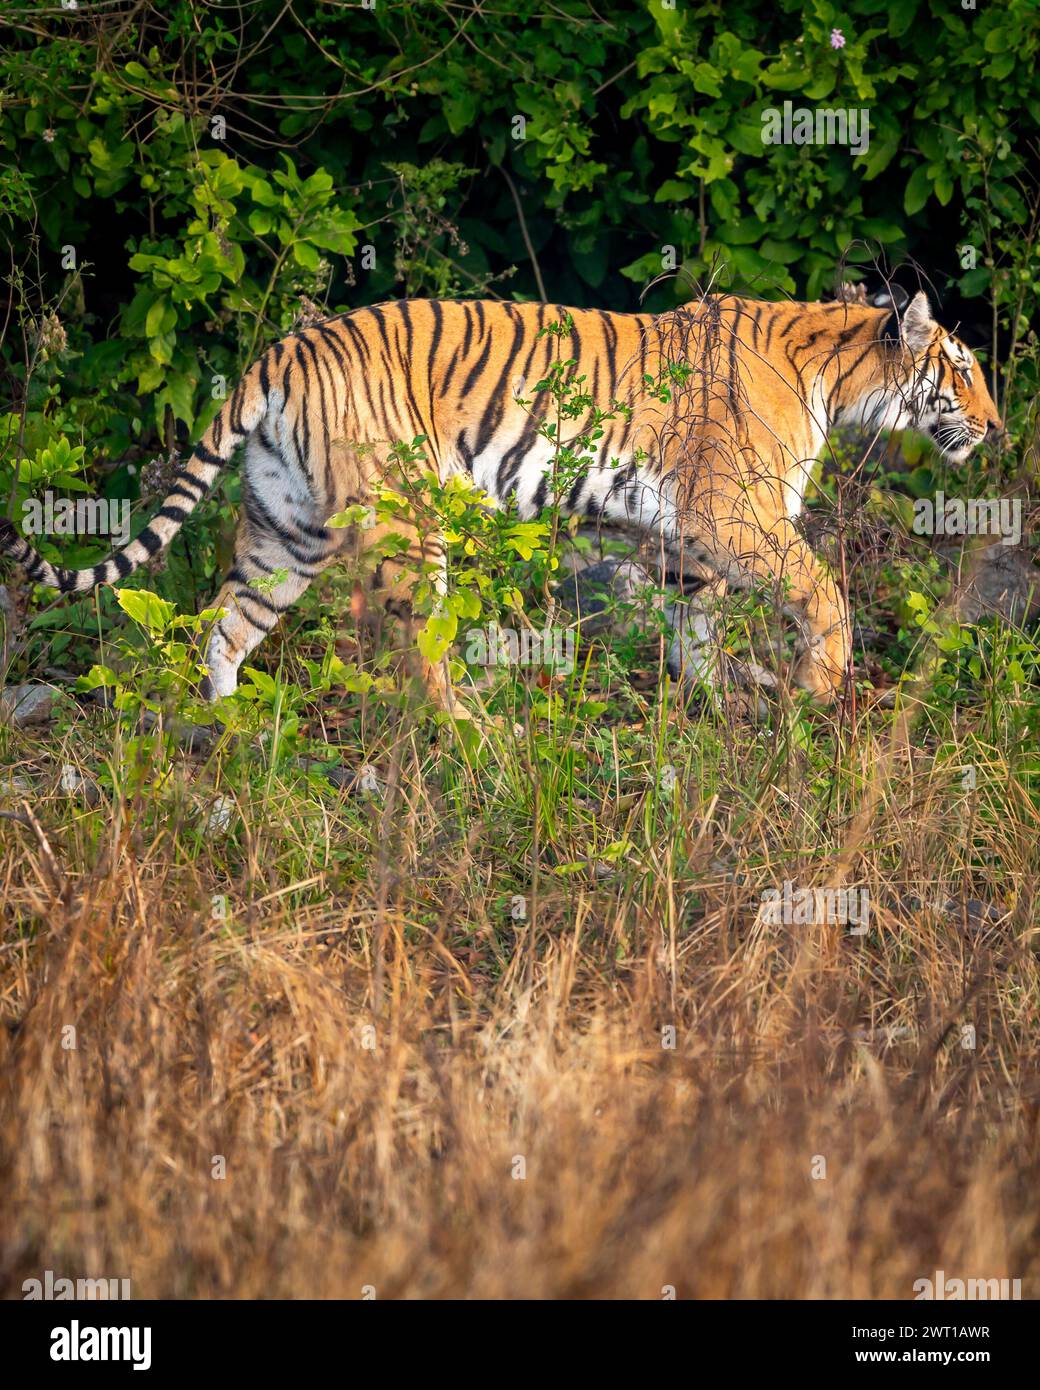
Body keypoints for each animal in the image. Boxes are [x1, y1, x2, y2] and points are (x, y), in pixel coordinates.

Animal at [0, 286, 1002, 711]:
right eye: (962, 370)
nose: (995, 427)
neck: (839, 374)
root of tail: (285, 348)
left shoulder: (686, 538)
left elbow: (698, 627)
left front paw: (729, 706)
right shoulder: (733, 516)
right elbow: (823, 590)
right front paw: (819, 688)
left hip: (287, 528)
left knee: (226, 618)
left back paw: (226, 730)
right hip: (405, 523)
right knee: (413, 648)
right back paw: (469, 729)